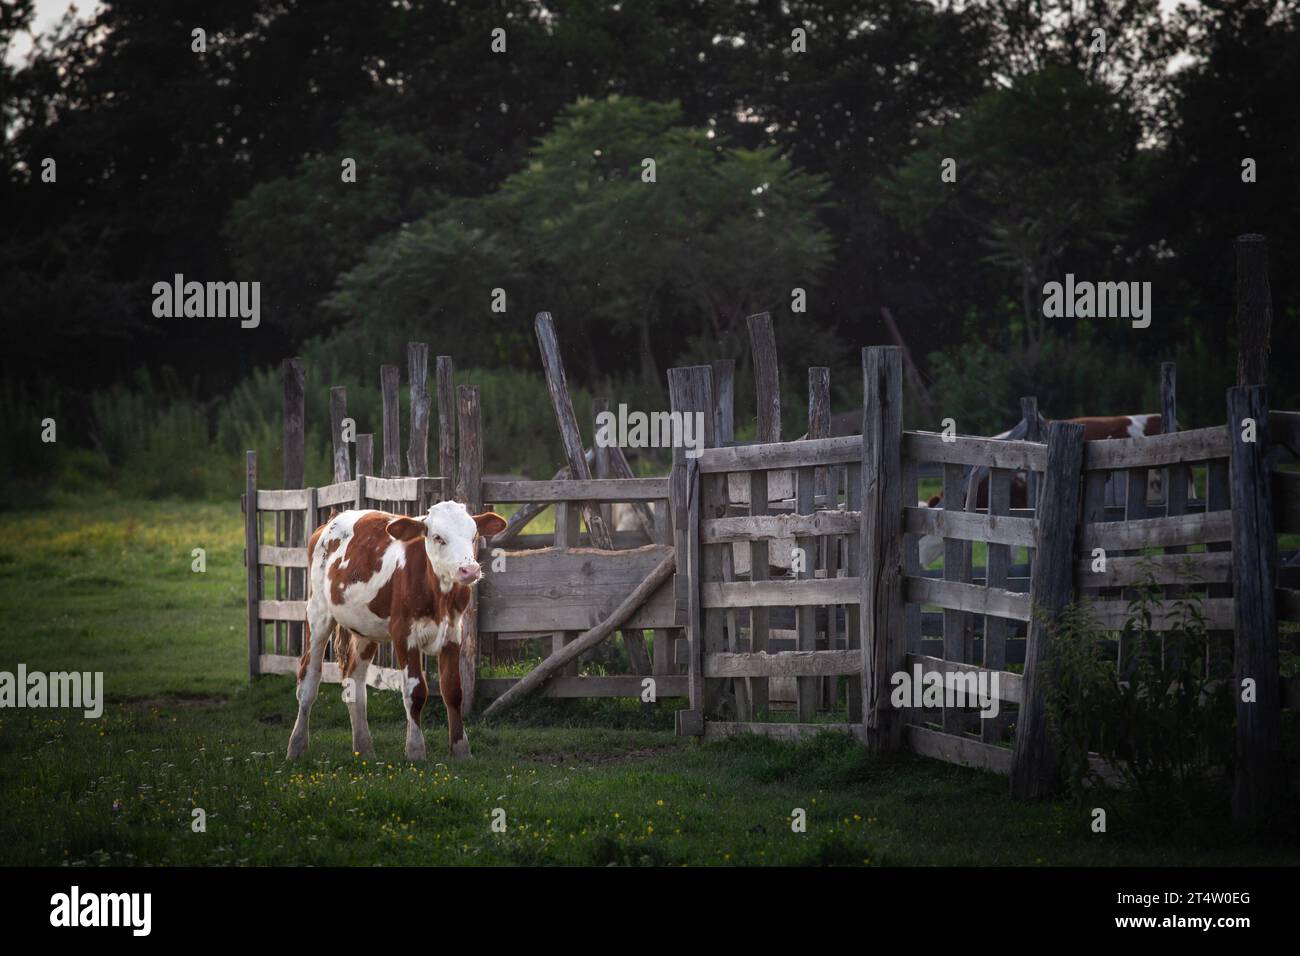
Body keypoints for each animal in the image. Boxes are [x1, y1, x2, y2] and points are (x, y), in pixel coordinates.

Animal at [286, 500, 508, 762]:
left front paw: (461, 749)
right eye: (438, 537)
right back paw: (296, 746)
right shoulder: (404, 634)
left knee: (355, 682)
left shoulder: (453, 634)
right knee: (308, 679)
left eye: (473, 535)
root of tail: (331, 521)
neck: (438, 593)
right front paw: (415, 750)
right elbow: (415, 691)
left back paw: (364, 747)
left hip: (366, 629)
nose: (470, 570)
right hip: (318, 613)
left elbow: (453, 691)